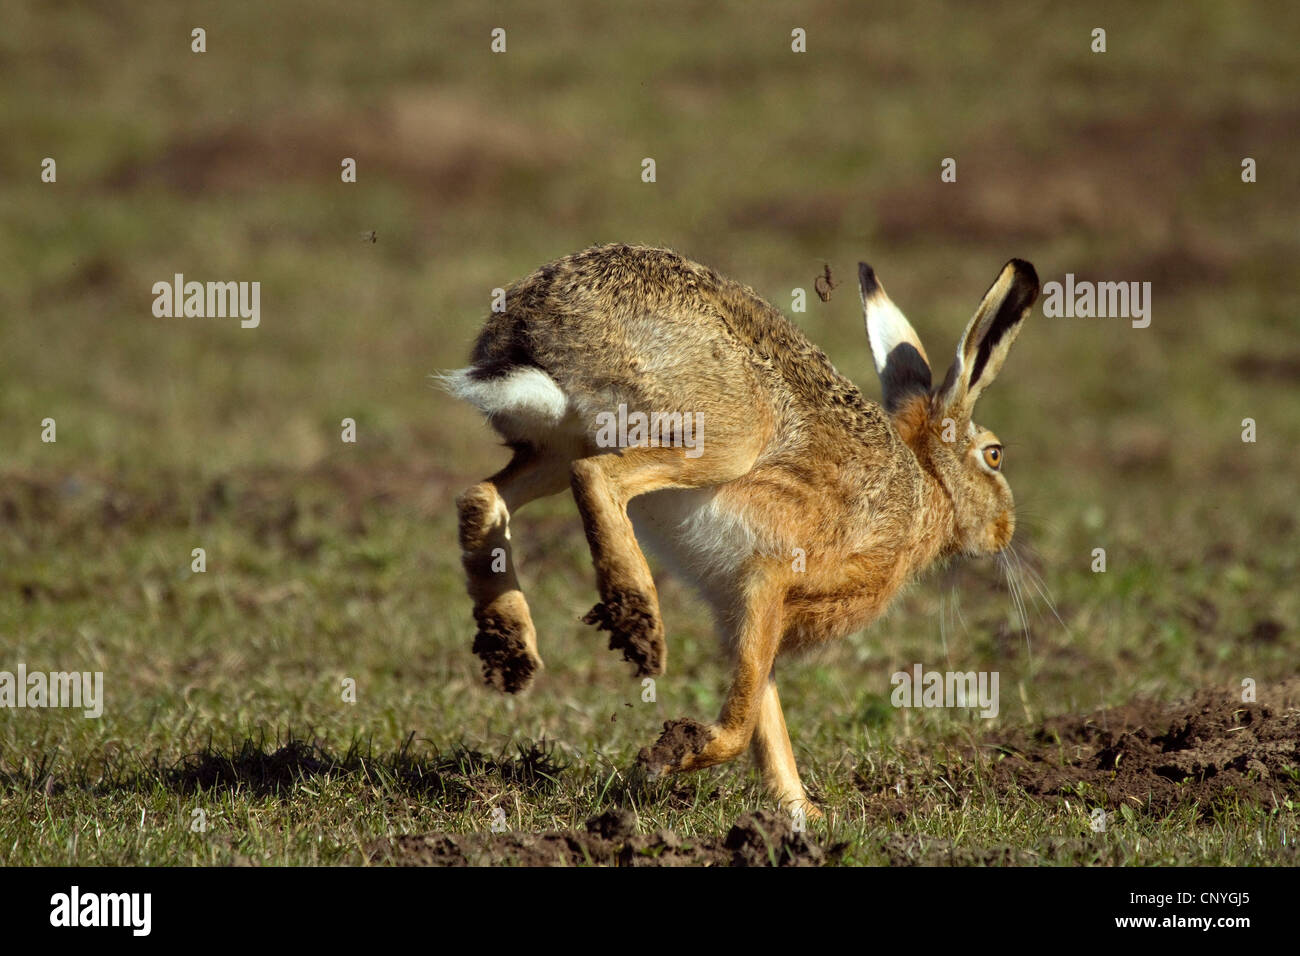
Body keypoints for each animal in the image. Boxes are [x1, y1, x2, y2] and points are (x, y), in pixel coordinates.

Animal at [445, 243, 1039, 817]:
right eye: (994, 455)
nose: (1005, 530)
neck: (927, 485)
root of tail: (536, 329)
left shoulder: (741, 605)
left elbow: (765, 710)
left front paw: (803, 814)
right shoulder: (770, 578)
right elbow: (748, 706)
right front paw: (676, 758)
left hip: (558, 445)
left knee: (483, 496)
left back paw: (509, 647)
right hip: (724, 435)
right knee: (595, 476)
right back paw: (638, 618)